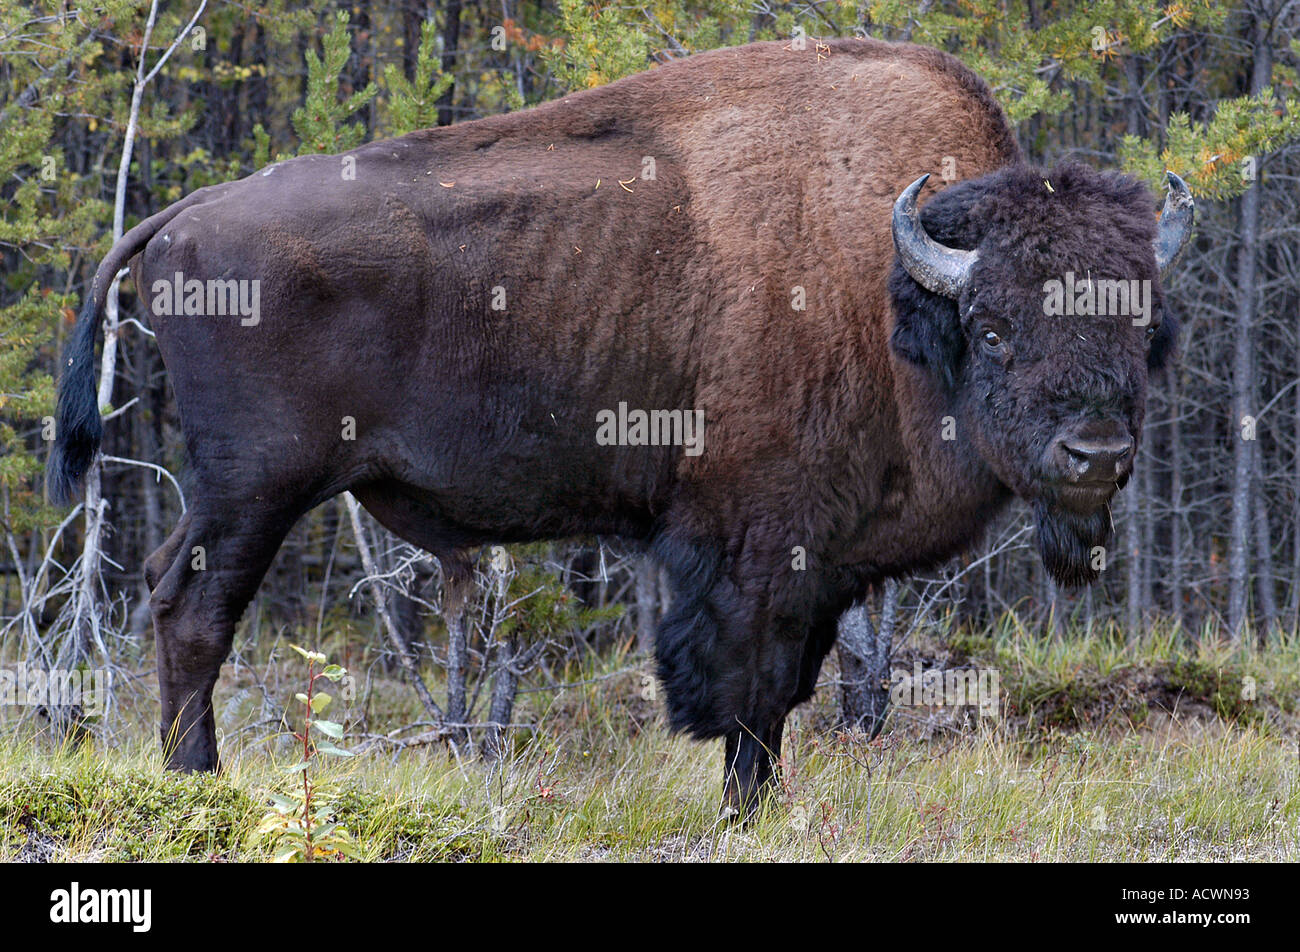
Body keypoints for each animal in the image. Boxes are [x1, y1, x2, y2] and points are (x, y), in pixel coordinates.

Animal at [51, 37, 1192, 812]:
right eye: (992, 328)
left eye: (1140, 326)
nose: (1095, 455)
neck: (888, 284)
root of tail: (183, 215)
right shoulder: (753, 549)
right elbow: (750, 696)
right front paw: (744, 813)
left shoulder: (819, 562)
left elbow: (785, 690)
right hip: (256, 489)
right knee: (191, 612)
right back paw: (199, 784)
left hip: (240, 492)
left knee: (170, 595)